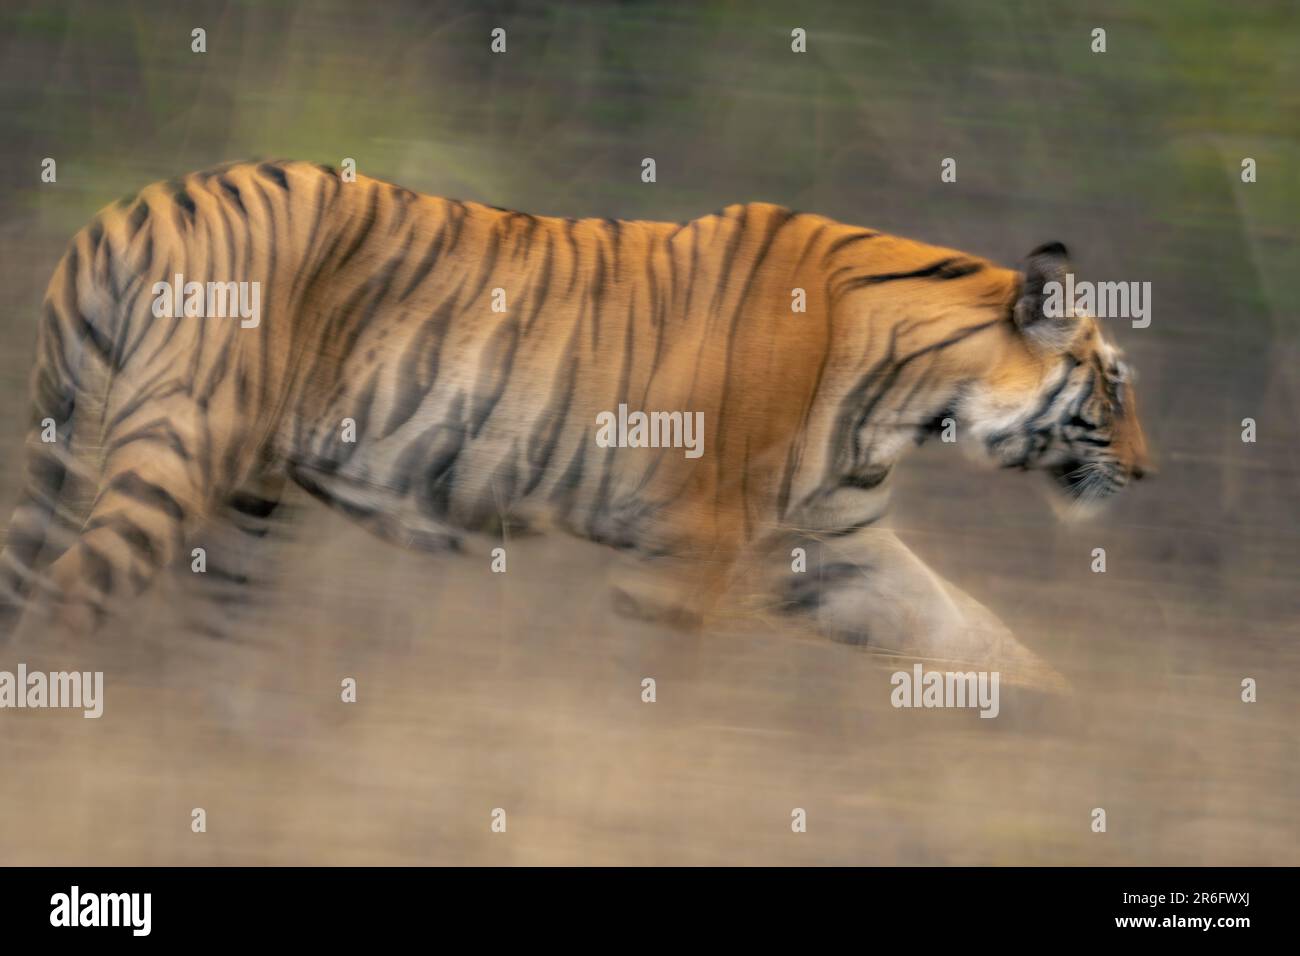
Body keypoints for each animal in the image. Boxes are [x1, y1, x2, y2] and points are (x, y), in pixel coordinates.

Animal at [0, 160, 1150, 678]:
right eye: (1114, 382)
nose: (1146, 475)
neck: (915, 397)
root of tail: (128, 211)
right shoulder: (693, 544)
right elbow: (651, 691)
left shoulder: (841, 545)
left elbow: (980, 637)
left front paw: (1078, 739)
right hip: (178, 449)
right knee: (65, 598)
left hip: (242, 504)